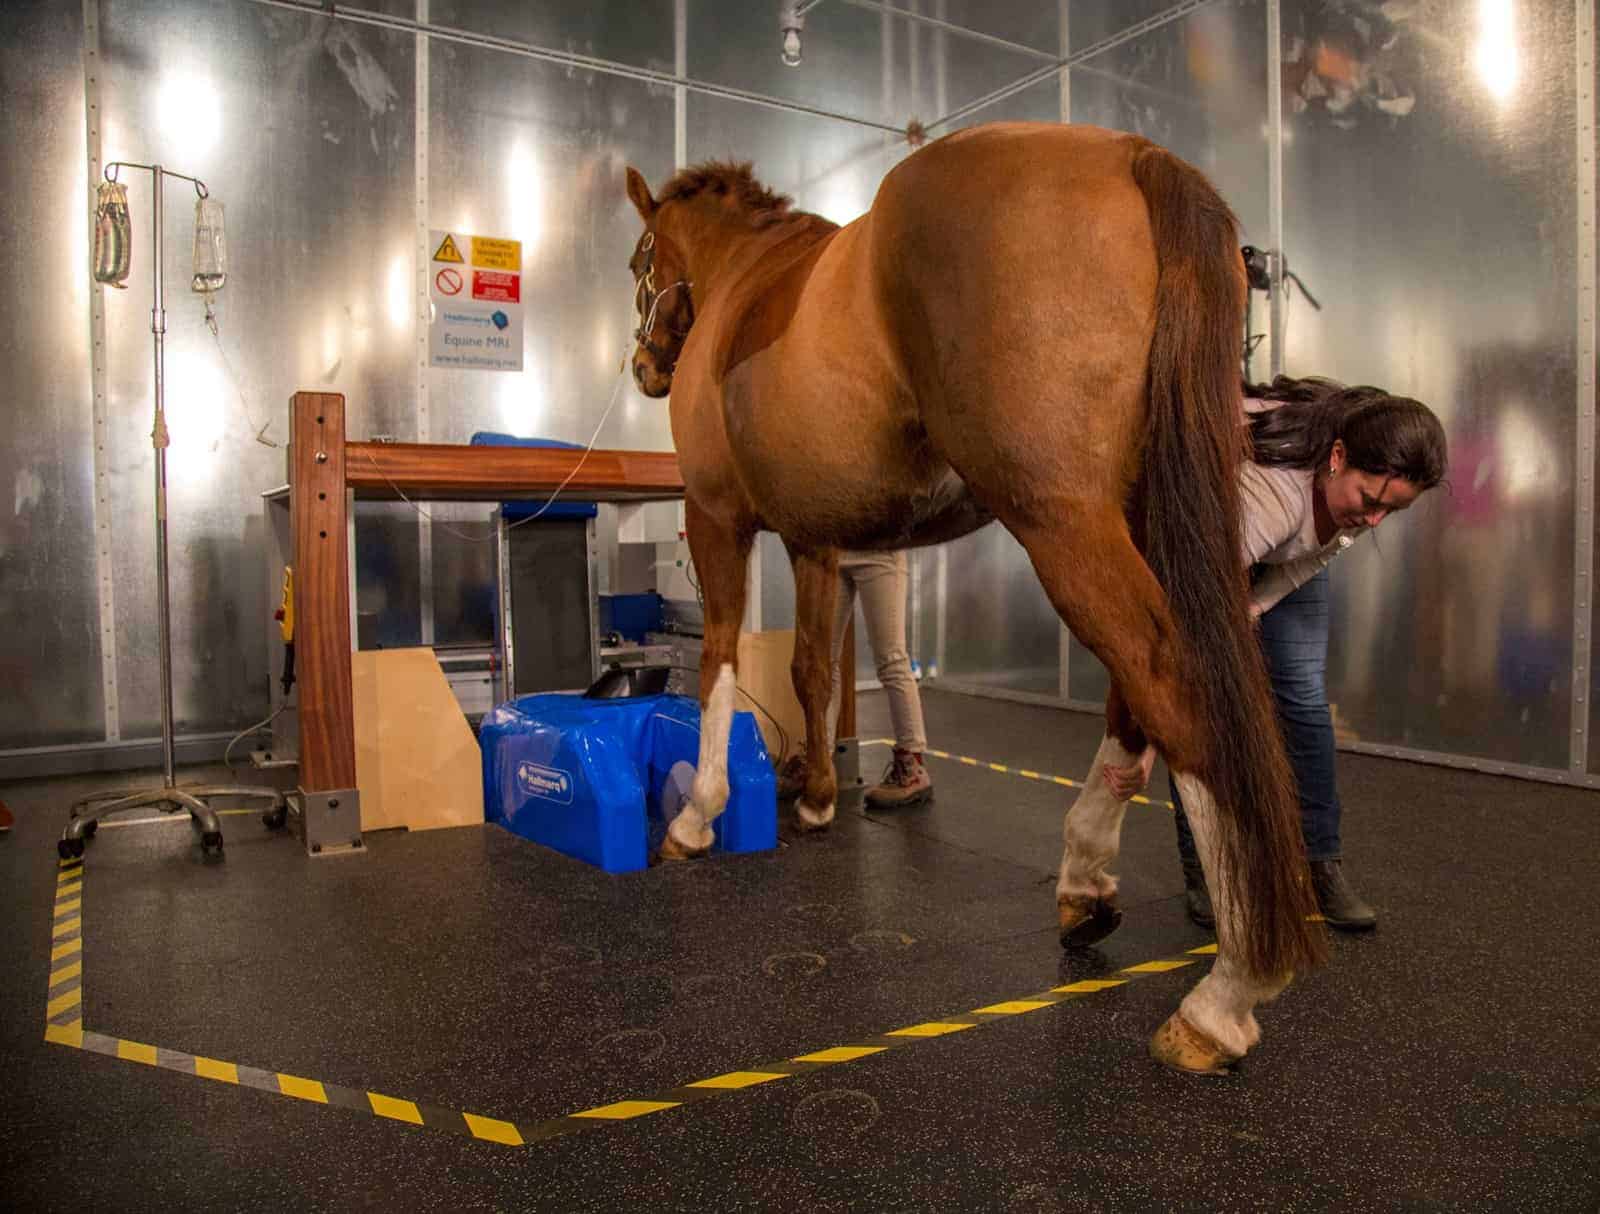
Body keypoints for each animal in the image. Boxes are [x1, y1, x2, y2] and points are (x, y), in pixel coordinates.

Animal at [623, 121, 1326, 1074]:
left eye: (640, 260)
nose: (645, 366)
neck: (744, 279)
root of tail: (1135, 154)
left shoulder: (715, 516)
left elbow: (718, 662)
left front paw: (698, 817)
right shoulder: (814, 544)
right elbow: (811, 670)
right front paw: (814, 797)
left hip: (1062, 521)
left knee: (1167, 680)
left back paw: (1224, 995)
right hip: (1139, 513)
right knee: (1137, 694)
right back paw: (1085, 882)